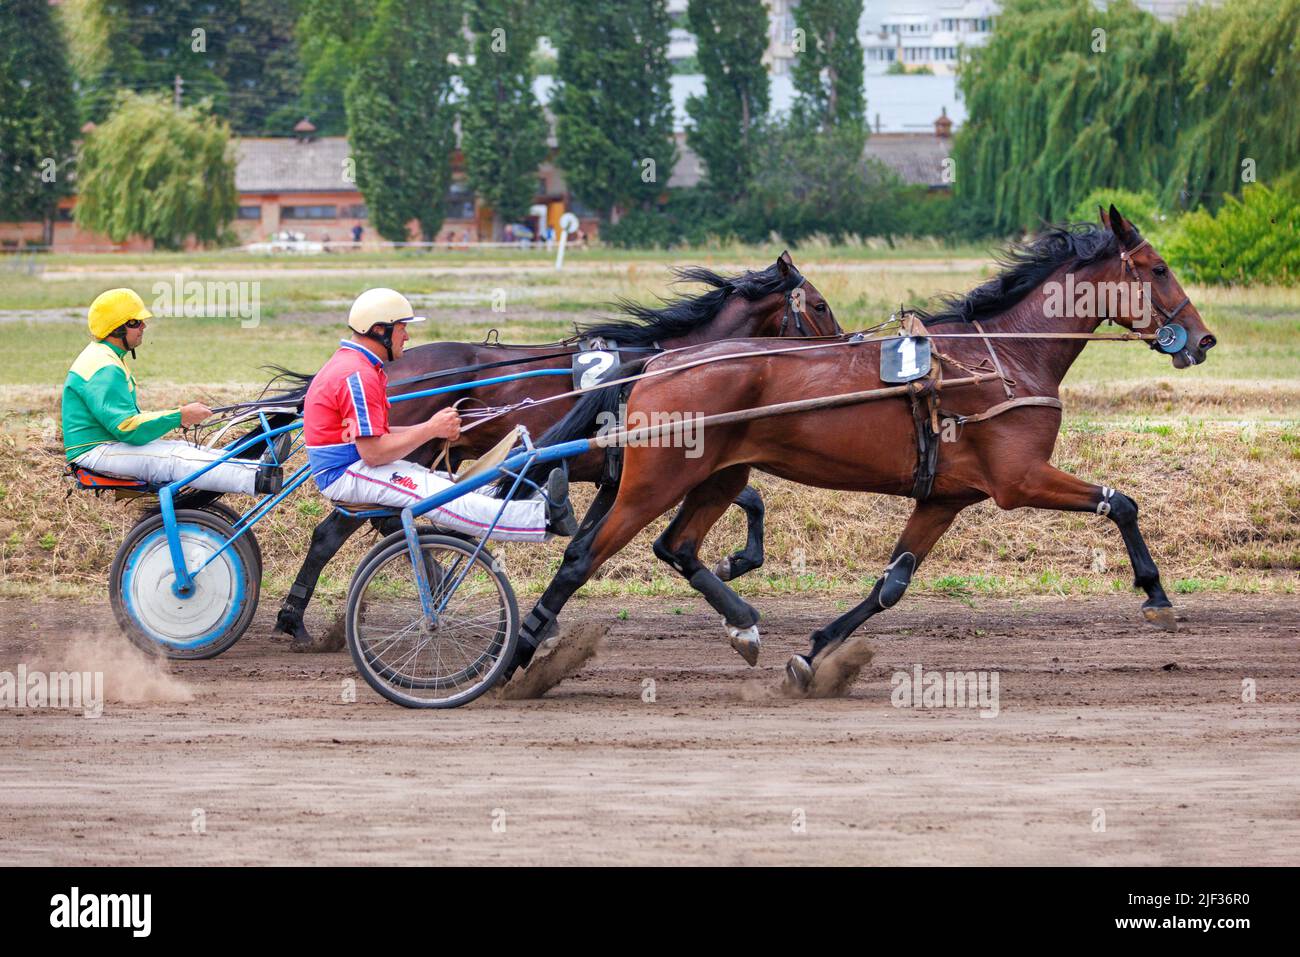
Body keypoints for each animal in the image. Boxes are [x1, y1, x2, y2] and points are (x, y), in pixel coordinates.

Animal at [269, 251, 842, 646]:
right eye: (819, 305)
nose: (841, 345)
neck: (675, 360)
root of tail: (391, 369)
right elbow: (750, 501)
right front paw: (736, 561)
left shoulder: (618, 476)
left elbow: (591, 539)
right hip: (402, 452)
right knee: (346, 527)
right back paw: (307, 614)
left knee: (356, 526)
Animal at [505, 206, 1218, 690]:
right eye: (1158, 269)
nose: (1204, 338)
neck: (1002, 358)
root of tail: (658, 362)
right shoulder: (1019, 478)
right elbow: (1120, 502)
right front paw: (1155, 595)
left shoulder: (946, 497)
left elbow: (892, 584)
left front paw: (812, 651)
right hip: (654, 480)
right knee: (583, 557)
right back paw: (519, 655)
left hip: (717, 476)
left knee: (676, 546)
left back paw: (742, 624)